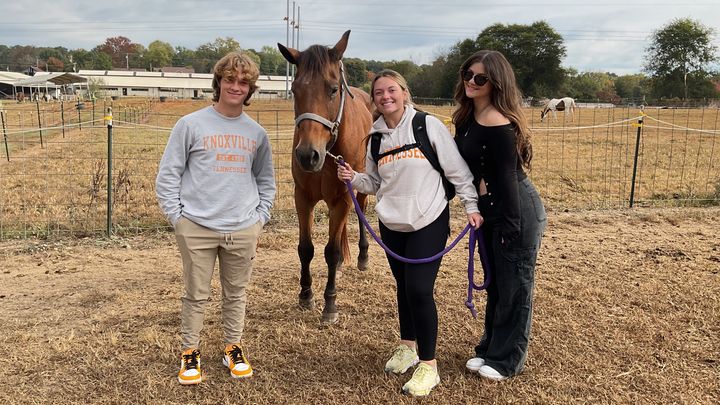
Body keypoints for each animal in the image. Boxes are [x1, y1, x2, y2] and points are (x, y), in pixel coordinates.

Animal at [278, 30, 373, 323]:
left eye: (333, 89)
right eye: (295, 90)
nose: (308, 155)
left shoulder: (342, 197)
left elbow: (330, 251)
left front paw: (330, 304)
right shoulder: (303, 198)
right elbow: (305, 248)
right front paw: (305, 295)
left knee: (361, 212)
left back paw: (362, 256)